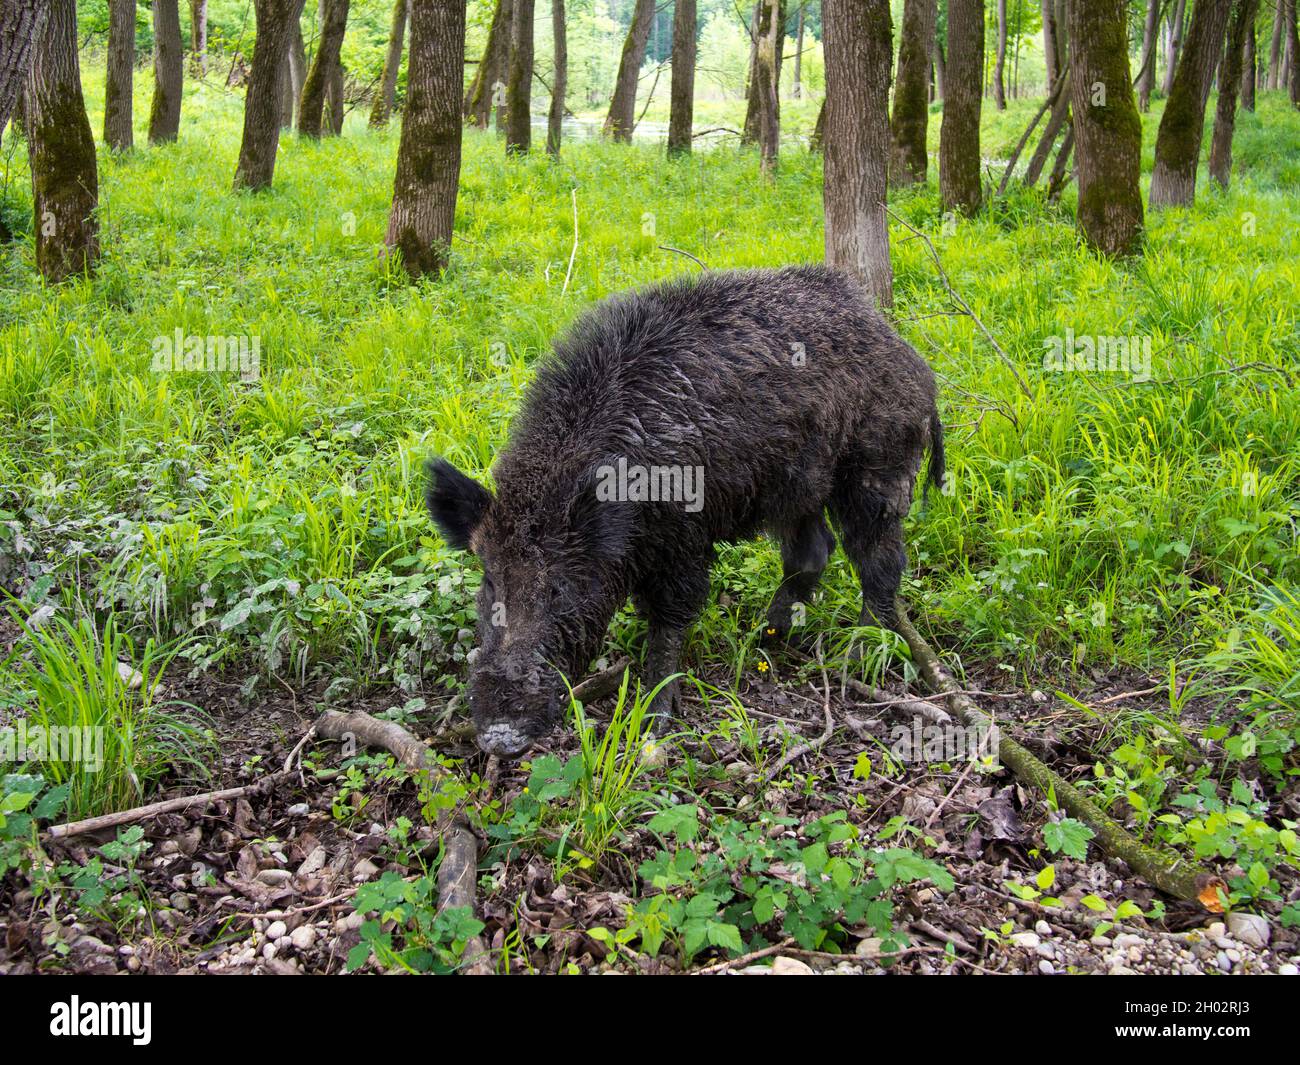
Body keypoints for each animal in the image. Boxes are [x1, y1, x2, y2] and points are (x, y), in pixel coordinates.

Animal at [427, 265, 943, 757]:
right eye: (489, 581)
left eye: (558, 589)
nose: (499, 735)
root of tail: (909, 354)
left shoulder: (685, 540)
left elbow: (671, 620)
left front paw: (654, 721)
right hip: (798, 487)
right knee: (813, 551)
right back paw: (767, 636)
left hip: (877, 466)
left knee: (879, 559)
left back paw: (854, 653)